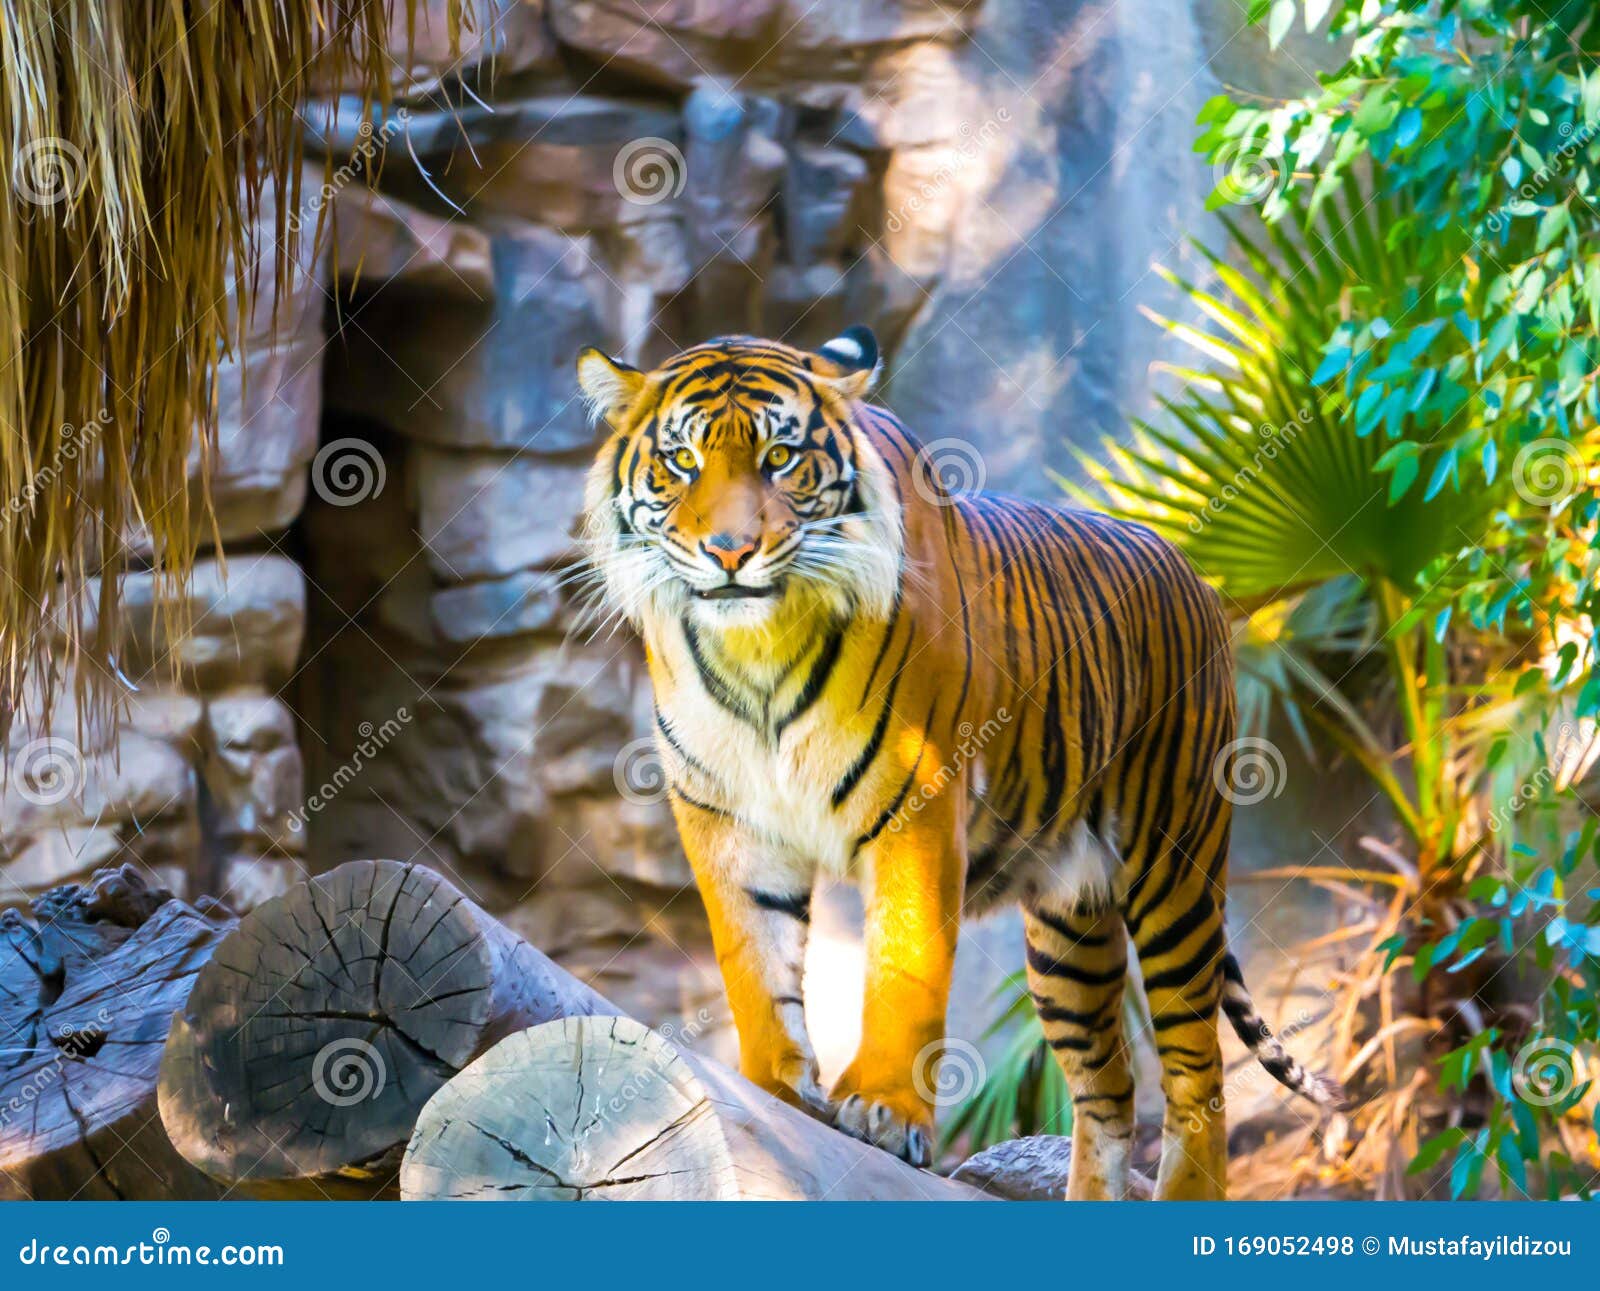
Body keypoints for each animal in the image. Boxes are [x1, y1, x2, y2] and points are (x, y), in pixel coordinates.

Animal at [575, 327, 1339, 1199]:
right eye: (681, 461)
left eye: (779, 457)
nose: (729, 551)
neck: (755, 648)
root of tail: (1196, 573)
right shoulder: (726, 820)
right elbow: (754, 967)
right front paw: (774, 1093)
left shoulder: (916, 800)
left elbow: (905, 965)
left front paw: (883, 1109)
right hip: (1069, 929)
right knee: (1109, 1087)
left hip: (1174, 870)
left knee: (1196, 1069)